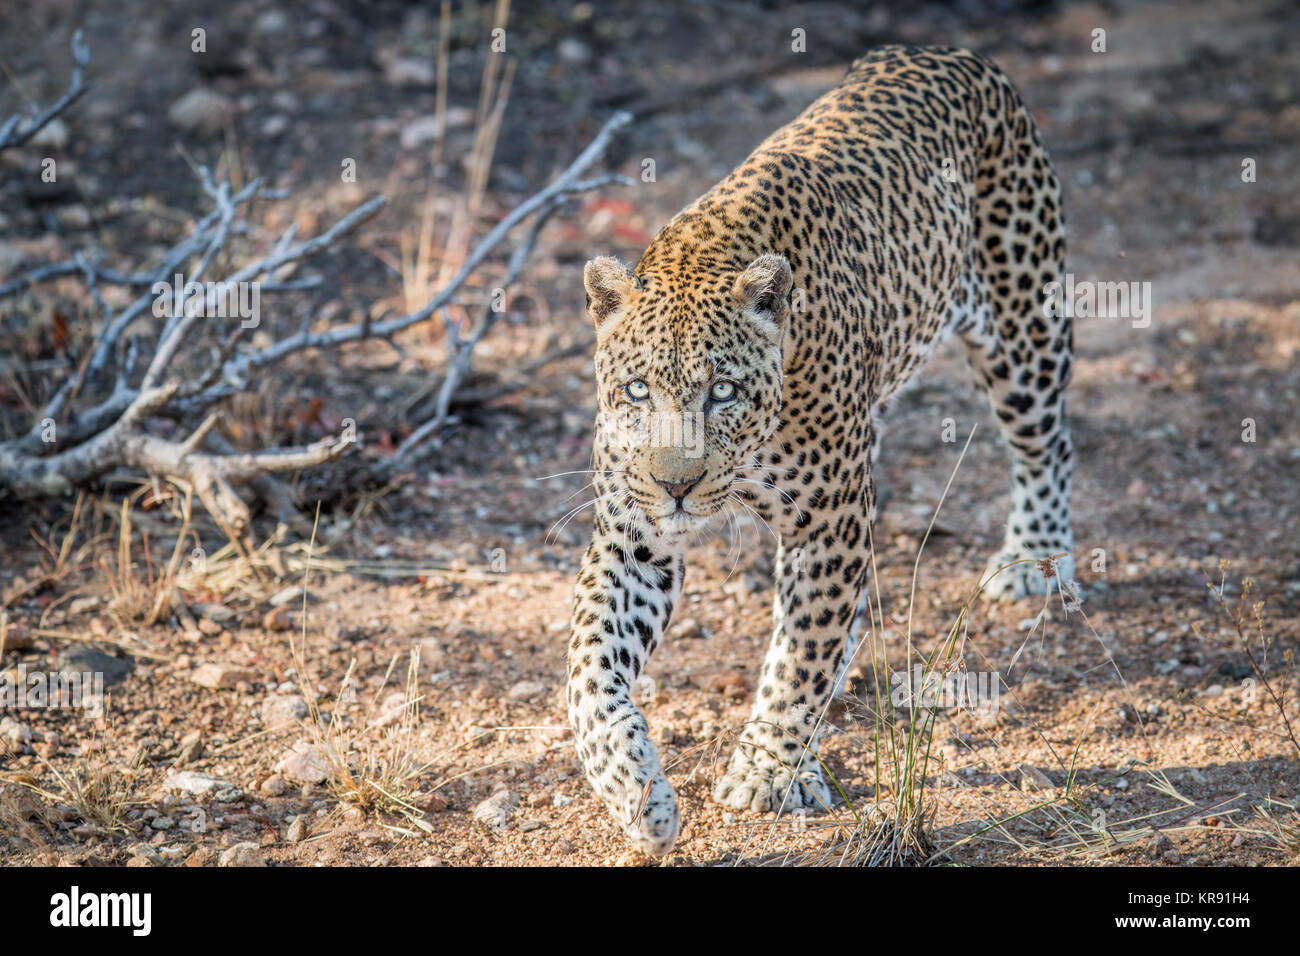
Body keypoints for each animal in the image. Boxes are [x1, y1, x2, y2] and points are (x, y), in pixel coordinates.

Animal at [565, 45, 1075, 857]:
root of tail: (950, 53)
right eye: (638, 390)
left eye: (723, 391)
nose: (677, 486)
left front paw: (768, 770)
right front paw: (634, 791)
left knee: (1047, 443)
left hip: (1025, 327)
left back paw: (1035, 556)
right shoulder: (633, 536)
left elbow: (801, 655)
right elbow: (588, 666)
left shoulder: (827, 527)